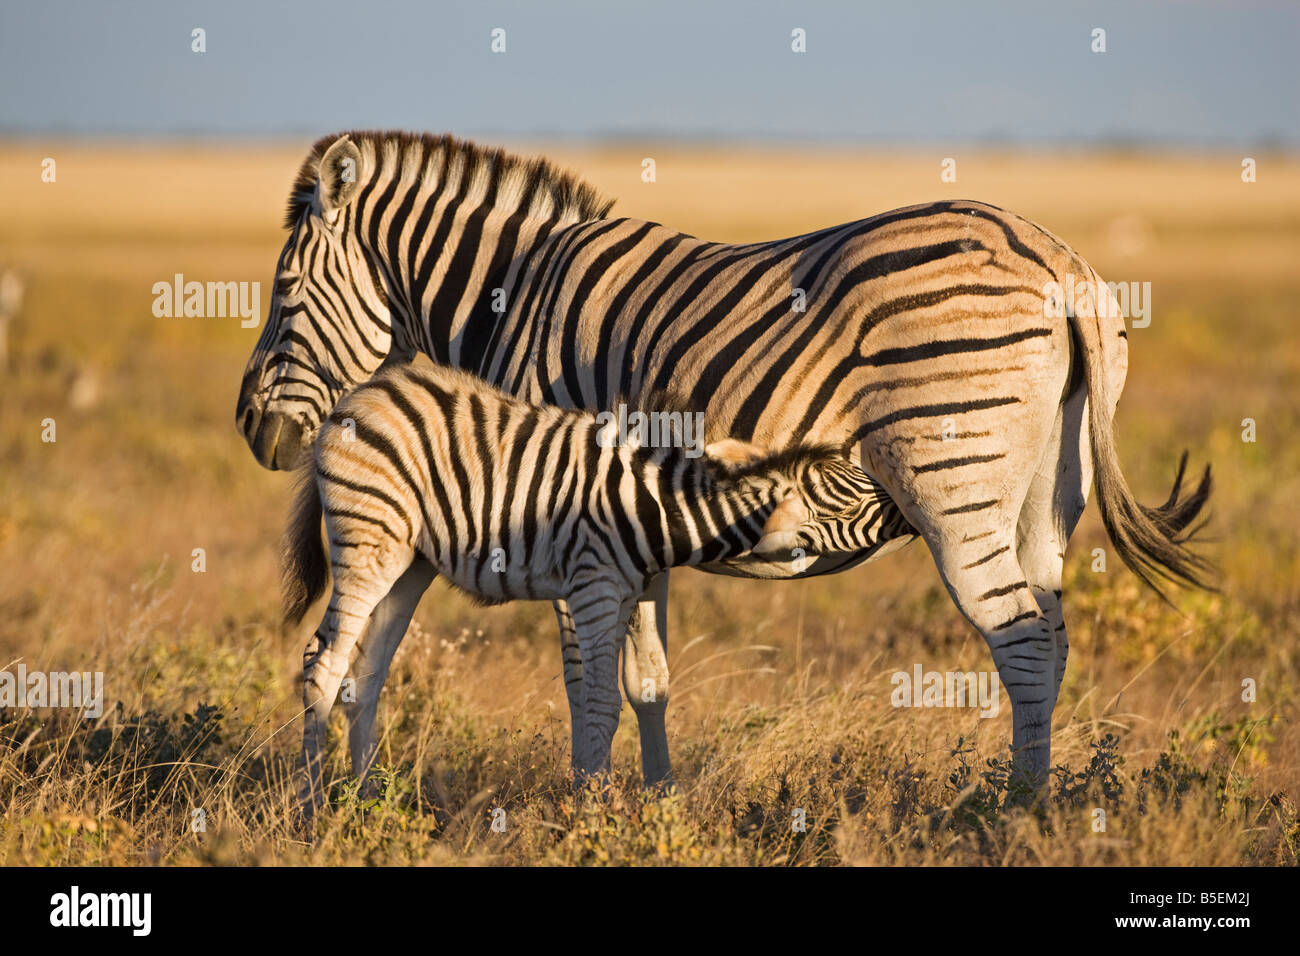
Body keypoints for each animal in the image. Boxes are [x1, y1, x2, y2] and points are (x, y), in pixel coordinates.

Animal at [283, 361, 883, 814]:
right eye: (855, 501)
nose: (901, 509)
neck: (657, 507)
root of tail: (359, 394)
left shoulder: (624, 593)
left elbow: (620, 696)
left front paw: (596, 800)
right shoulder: (594, 588)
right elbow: (599, 701)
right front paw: (595, 815)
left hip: (410, 561)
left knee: (366, 673)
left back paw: (367, 804)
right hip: (367, 538)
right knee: (322, 661)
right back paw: (312, 810)